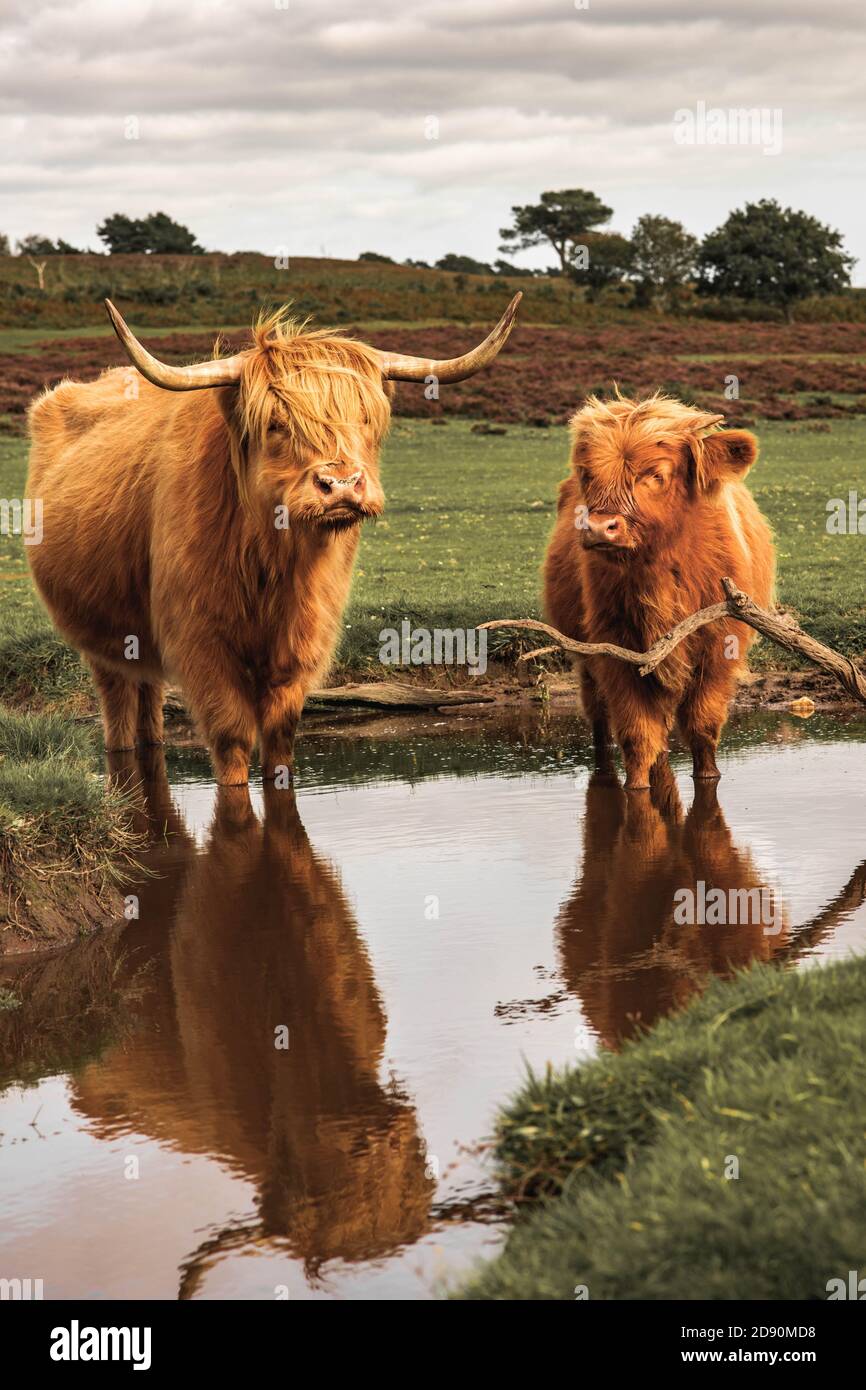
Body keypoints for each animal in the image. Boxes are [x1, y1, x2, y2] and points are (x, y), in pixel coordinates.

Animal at [26, 294, 520, 784]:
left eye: (364, 417)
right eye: (277, 424)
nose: (341, 485)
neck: (272, 560)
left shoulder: (304, 640)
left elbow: (281, 736)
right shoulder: (201, 642)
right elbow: (231, 739)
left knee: (149, 705)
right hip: (102, 640)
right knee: (118, 710)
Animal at [543, 392, 775, 789]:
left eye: (655, 475)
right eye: (588, 473)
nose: (600, 527)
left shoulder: (719, 646)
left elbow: (702, 727)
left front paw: (708, 775)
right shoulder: (614, 645)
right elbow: (637, 734)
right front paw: (636, 787)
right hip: (585, 659)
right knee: (600, 719)